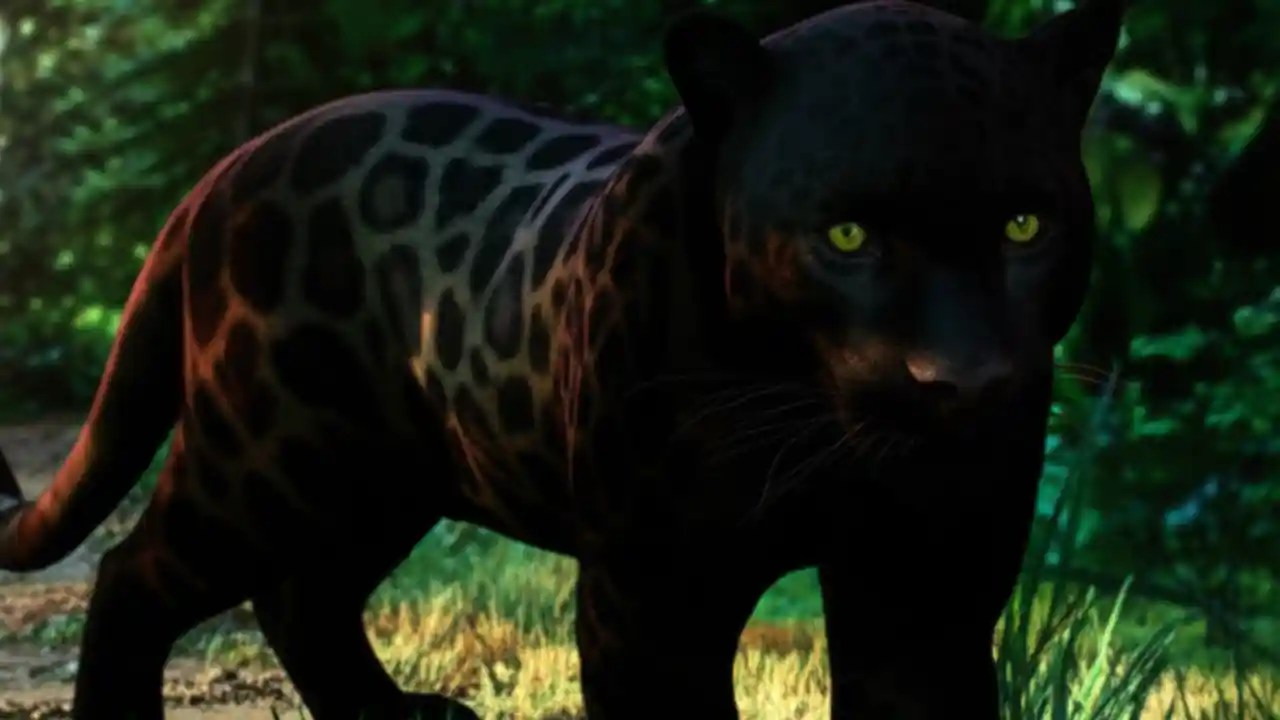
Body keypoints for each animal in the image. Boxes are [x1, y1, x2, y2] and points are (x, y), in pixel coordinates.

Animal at [0, 1, 1126, 718]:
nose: (964, 381)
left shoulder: (926, 584)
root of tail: (228, 167)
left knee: (299, 595)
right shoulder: (651, 589)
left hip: (378, 479)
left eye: (1025, 225)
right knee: (133, 574)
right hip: (265, 456)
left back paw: (396, 719)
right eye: (845, 236)